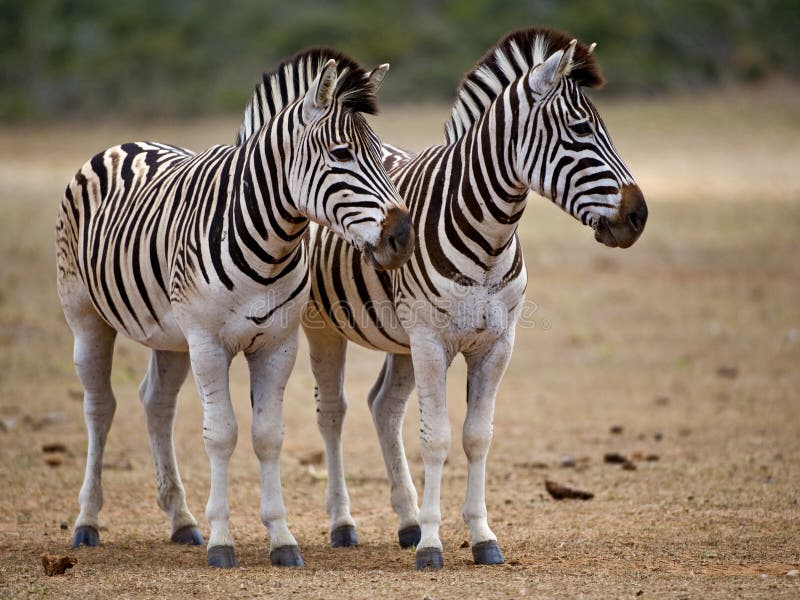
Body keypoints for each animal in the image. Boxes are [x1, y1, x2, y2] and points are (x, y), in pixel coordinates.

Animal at [55, 48, 414, 569]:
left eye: (379, 153)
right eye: (342, 154)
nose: (402, 237)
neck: (271, 243)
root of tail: (127, 143)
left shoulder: (277, 344)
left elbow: (268, 435)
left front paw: (282, 539)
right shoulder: (208, 343)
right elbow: (221, 433)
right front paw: (223, 542)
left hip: (169, 337)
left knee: (156, 403)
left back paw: (182, 521)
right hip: (86, 318)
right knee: (100, 407)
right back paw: (87, 523)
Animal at [301, 28, 648, 569]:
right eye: (578, 130)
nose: (639, 216)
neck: (488, 237)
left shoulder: (496, 343)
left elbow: (477, 436)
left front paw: (481, 535)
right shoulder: (430, 341)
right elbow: (436, 438)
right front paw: (432, 544)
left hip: (401, 341)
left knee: (383, 407)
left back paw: (407, 520)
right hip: (326, 327)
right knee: (333, 412)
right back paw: (344, 524)